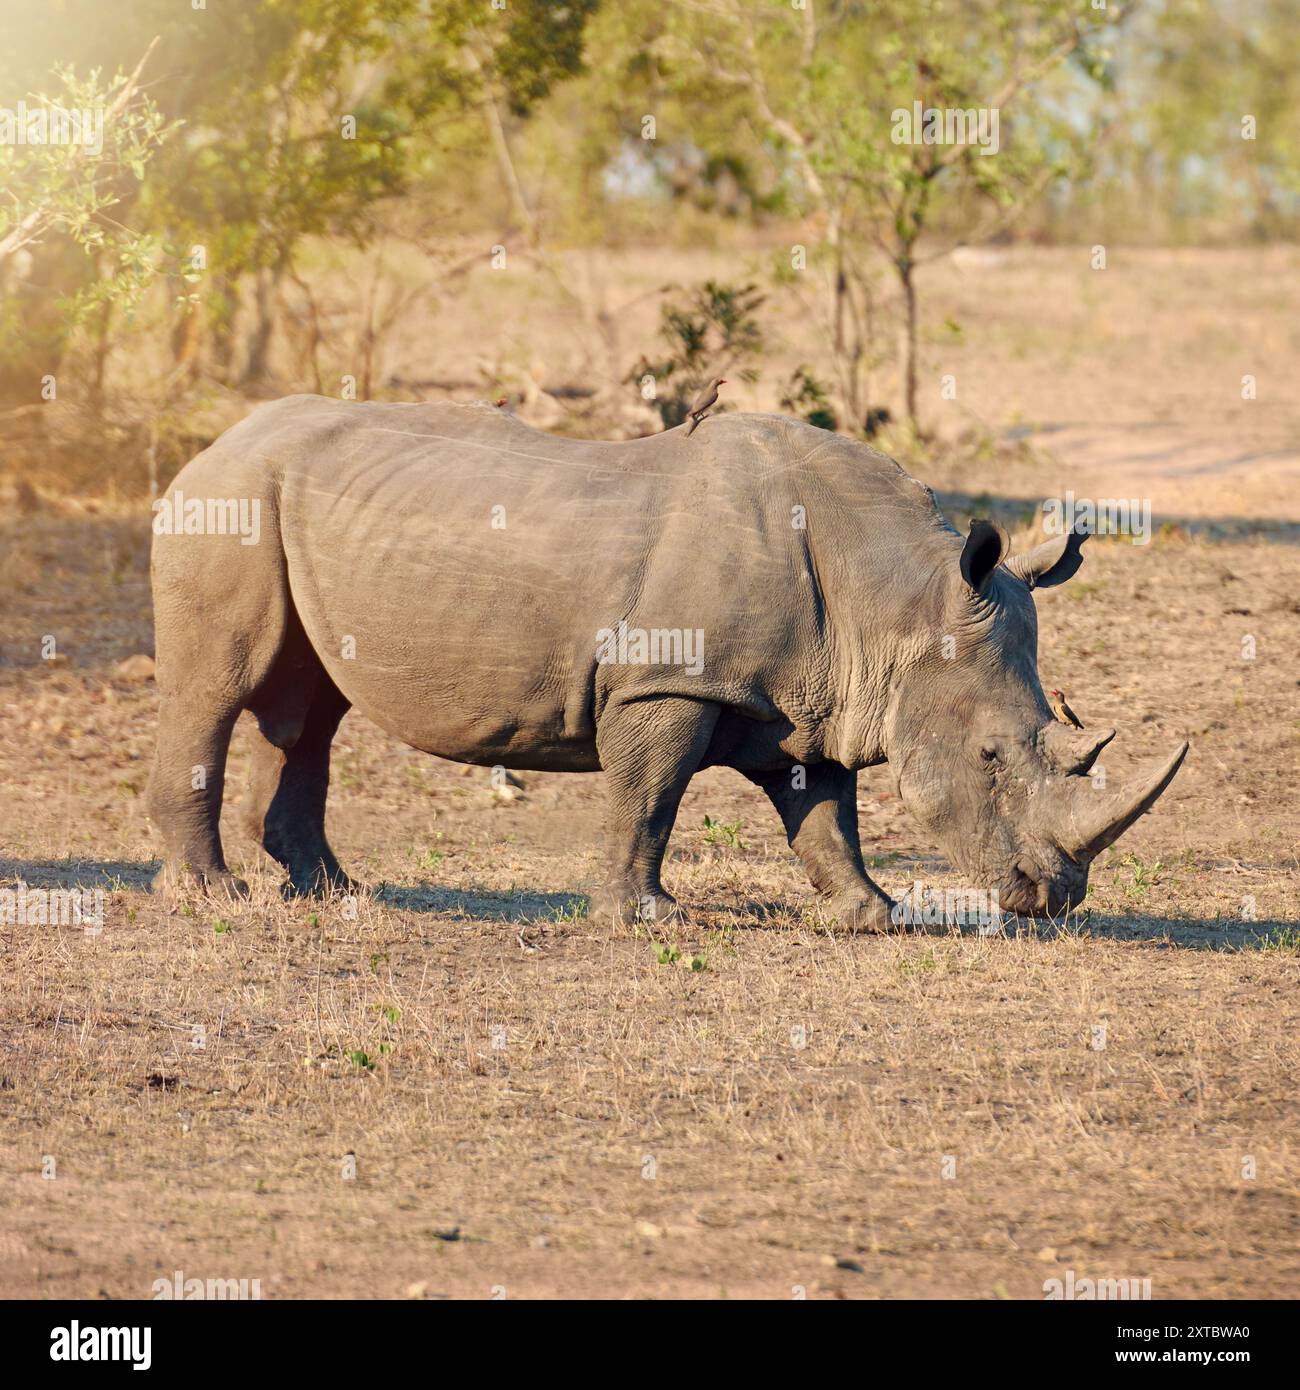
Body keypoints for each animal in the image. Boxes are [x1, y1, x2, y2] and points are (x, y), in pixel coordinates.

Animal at [147, 395, 1187, 928]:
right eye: (991, 759)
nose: (1053, 900)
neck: (896, 598)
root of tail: (212, 443)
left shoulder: (815, 694)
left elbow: (827, 813)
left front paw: (871, 914)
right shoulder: (671, 680)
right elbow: (651, 797)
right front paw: (646, 918)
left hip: (291, 510)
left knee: (309, 707)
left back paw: (333, 892)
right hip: (230, 505)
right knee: (218, 687)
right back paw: (214, 897)